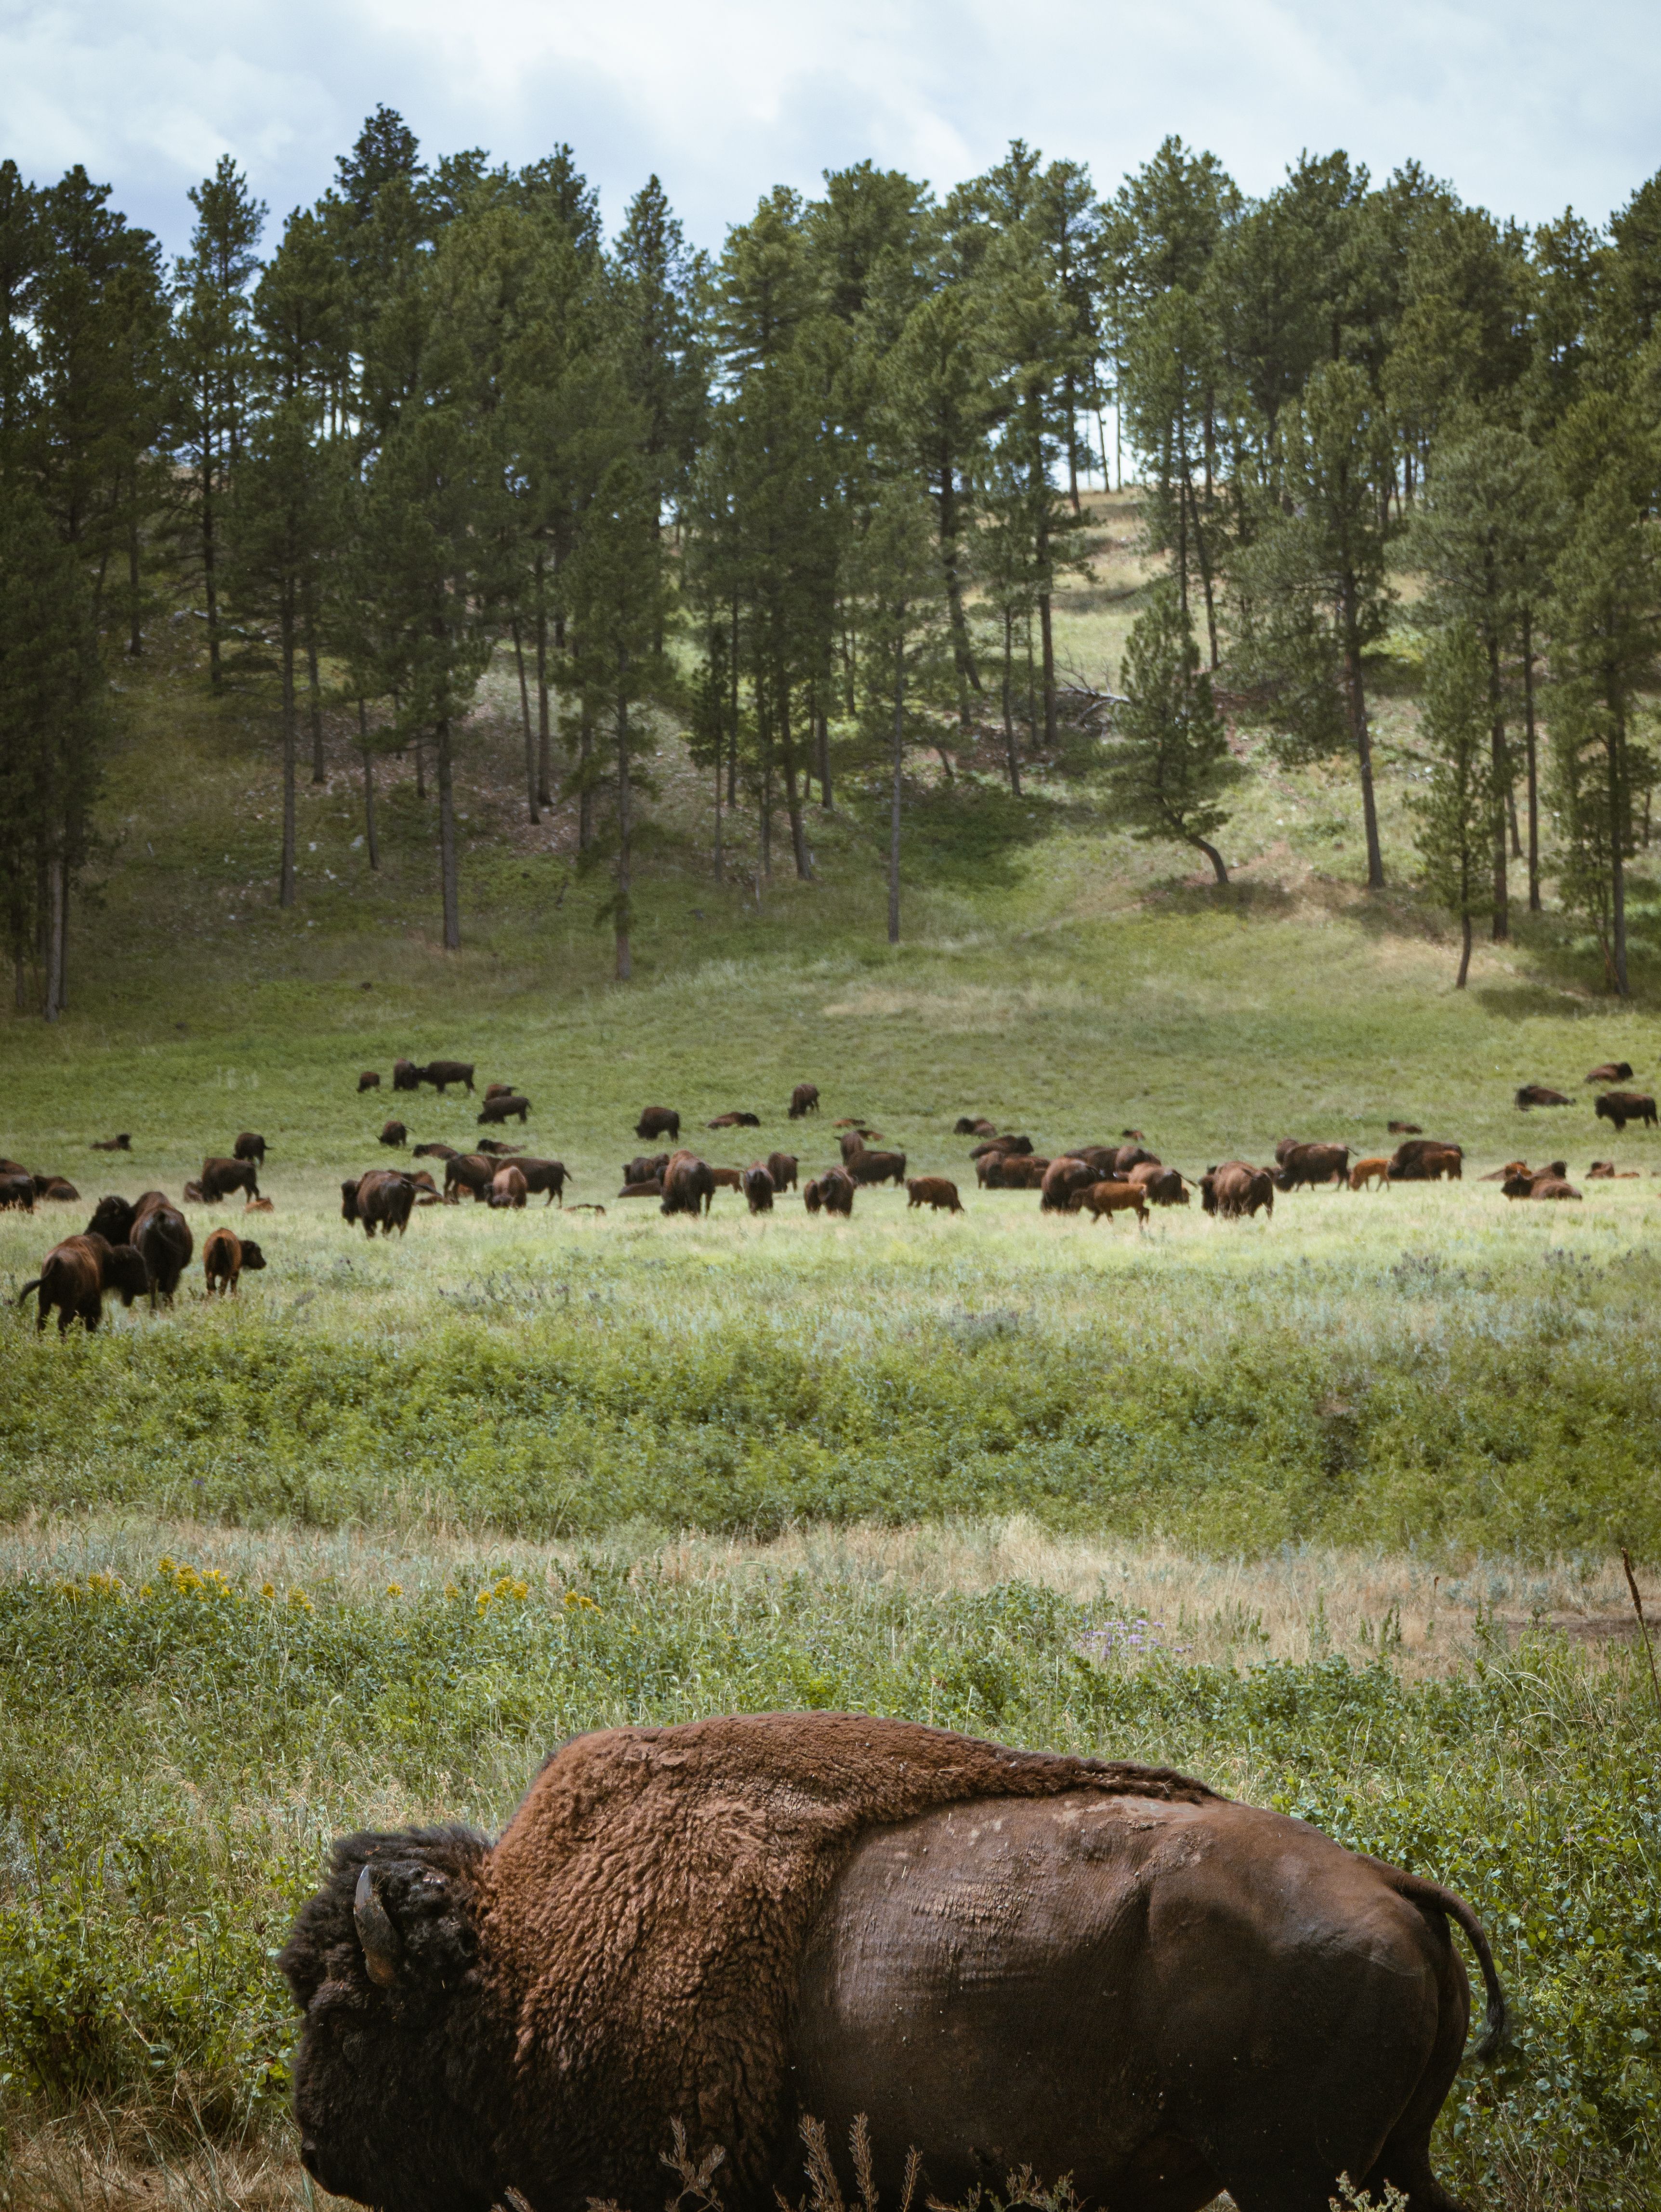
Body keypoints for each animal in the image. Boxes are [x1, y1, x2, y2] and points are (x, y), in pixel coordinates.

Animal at [18, 1233, 150, 1333]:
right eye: (135, 1265)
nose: (146, 1288)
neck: (107, 1260)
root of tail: (55, 1260)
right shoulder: (93, 1306)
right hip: (68, 1305)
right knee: (62, 1323)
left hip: (45, 1303)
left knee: (42, 1322)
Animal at [204, 1226, 267, 1294]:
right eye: (257, 1251)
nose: (264, 1263)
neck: (241, 1247)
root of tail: (221, 1239)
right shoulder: (236, 1273)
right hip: (226, 1274)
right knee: (222, 1287)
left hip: (209, 1272)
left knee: (211, 1288)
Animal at [281, 1713, 1503, 2212]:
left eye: (342, 2014)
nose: (314, 2146)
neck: (523, 1958)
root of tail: (1390, 1885)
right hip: (1387, 2160)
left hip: (1290, 2177)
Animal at [1595, 1090, 1657, 1132]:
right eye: (1596, 1104)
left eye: (1602, 1105)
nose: (1597, 1112)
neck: (1609, 1102)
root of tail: (1651, 1099)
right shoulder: (1616, 1119)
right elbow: (1617, 1125)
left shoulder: (1620, 1118)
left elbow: (1621, 1124)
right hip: (1646, 1115)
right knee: (1648, 1122)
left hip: (1651, 1114)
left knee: (1655, 1121)